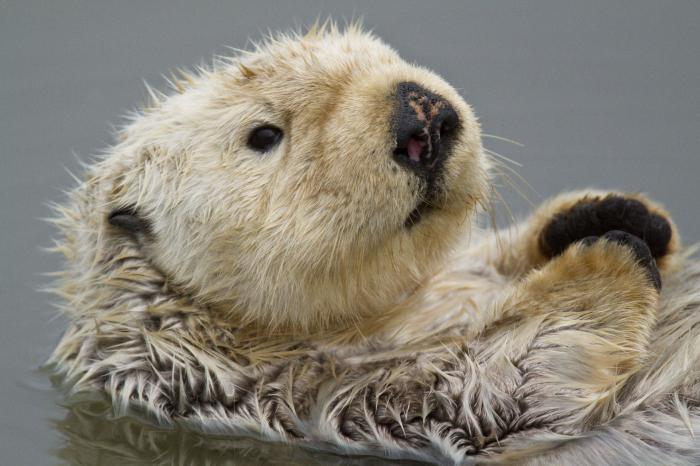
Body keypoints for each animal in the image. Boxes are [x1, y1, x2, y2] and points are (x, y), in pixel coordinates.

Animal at [49, 22, 700, 466]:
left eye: (385, 60)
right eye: (263, 134)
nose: (422, 116)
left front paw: (614, 212)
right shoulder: (332, 397)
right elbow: (509, 382)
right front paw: (606, 255)